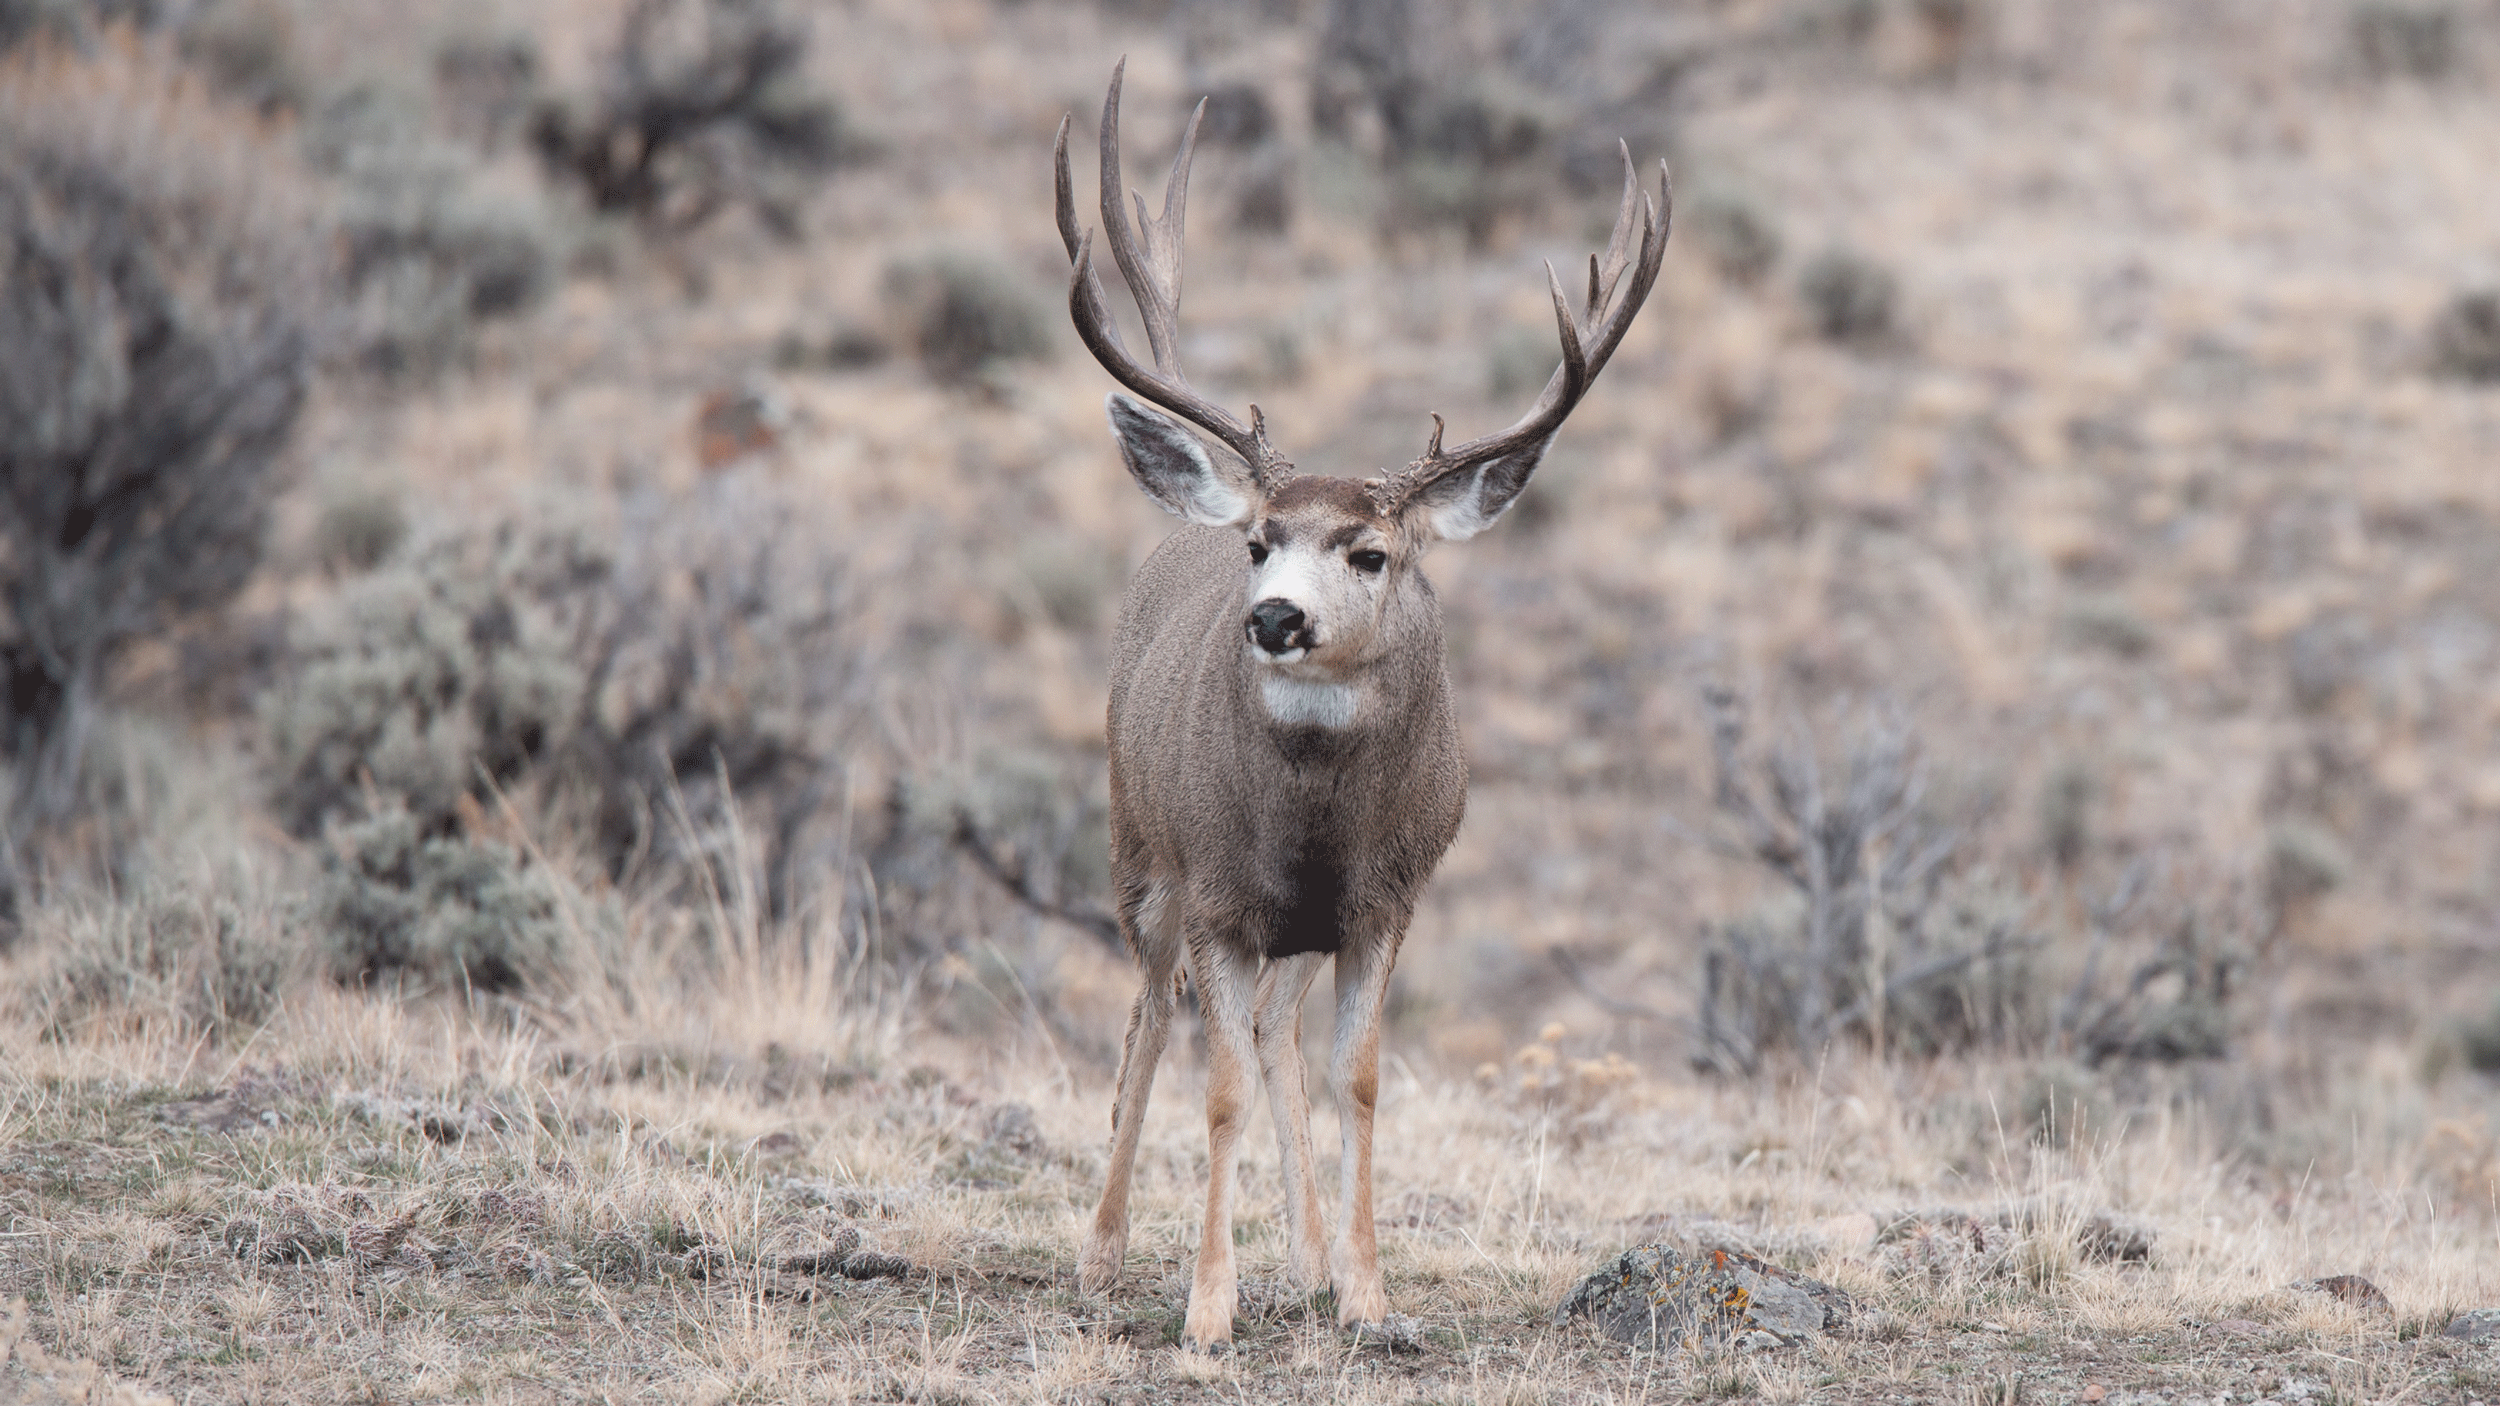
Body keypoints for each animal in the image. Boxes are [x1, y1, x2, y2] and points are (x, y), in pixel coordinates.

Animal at [1055, 60, 1668, 1351]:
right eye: (1260, 540)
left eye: (1372, 550)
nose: (1274, 616)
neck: (1317, 826)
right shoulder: (1219, 890)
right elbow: (1216, 1083)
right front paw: (1207, 1310)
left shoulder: (1389, 898)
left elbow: (1359, 1076)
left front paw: (1365, 1291)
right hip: (1138, 847)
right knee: (1150, 1018)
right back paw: (1102, 1254)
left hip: (1291, 931)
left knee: (1275, 1033)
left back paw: (1301, 1256)